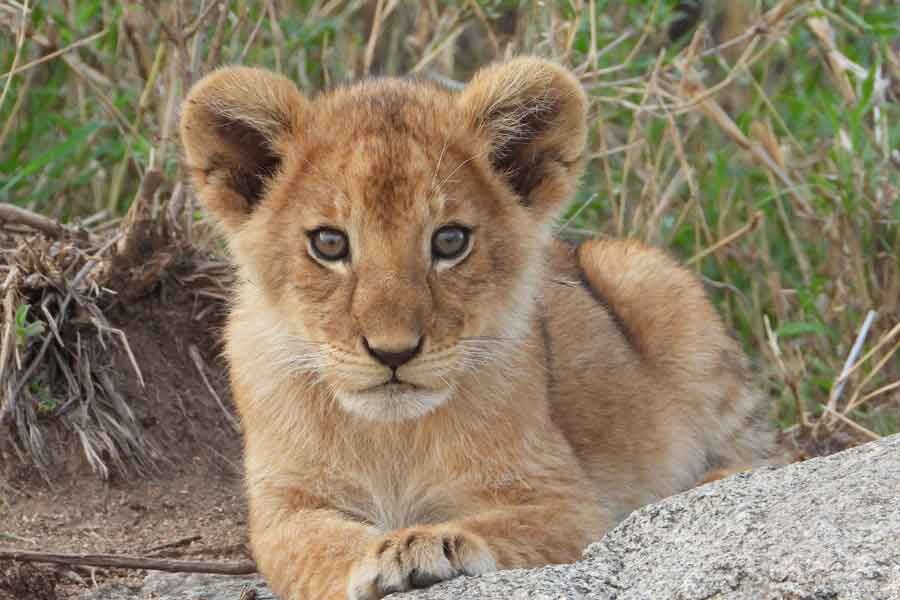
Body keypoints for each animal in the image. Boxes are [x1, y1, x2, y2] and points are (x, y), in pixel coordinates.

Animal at [179, 57, 778, 600]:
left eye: (450, 241)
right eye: (329, 243)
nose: (393, 353)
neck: (391, 438)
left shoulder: (566, 500)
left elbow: (505, 527)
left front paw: (426, 542)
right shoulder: (284, 507)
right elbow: (318, 548)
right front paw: (381, 553)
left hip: (645, 277)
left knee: (763, 454)